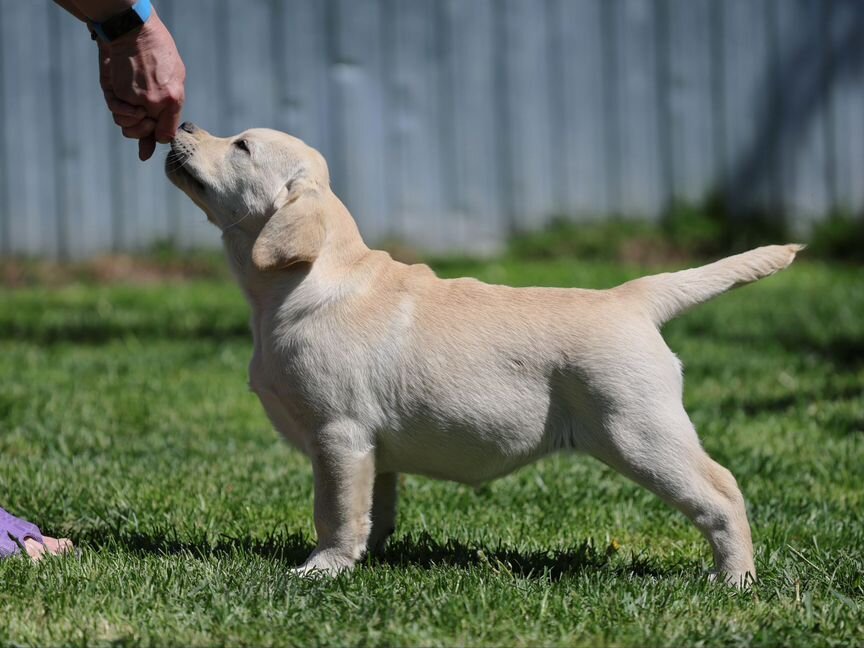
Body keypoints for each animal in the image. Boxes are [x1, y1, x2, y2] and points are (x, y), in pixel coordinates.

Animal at [165, 124, 800, 584]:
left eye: (242, 146)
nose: (185, 125)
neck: (311, 278)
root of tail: (630, 297)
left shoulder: (337, 433)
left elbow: (335, 510)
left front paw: (323, 568)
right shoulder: (370, 449)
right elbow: (374, 505)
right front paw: (370, 554)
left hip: (639, 430)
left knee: (722, 491)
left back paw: (735, 580)